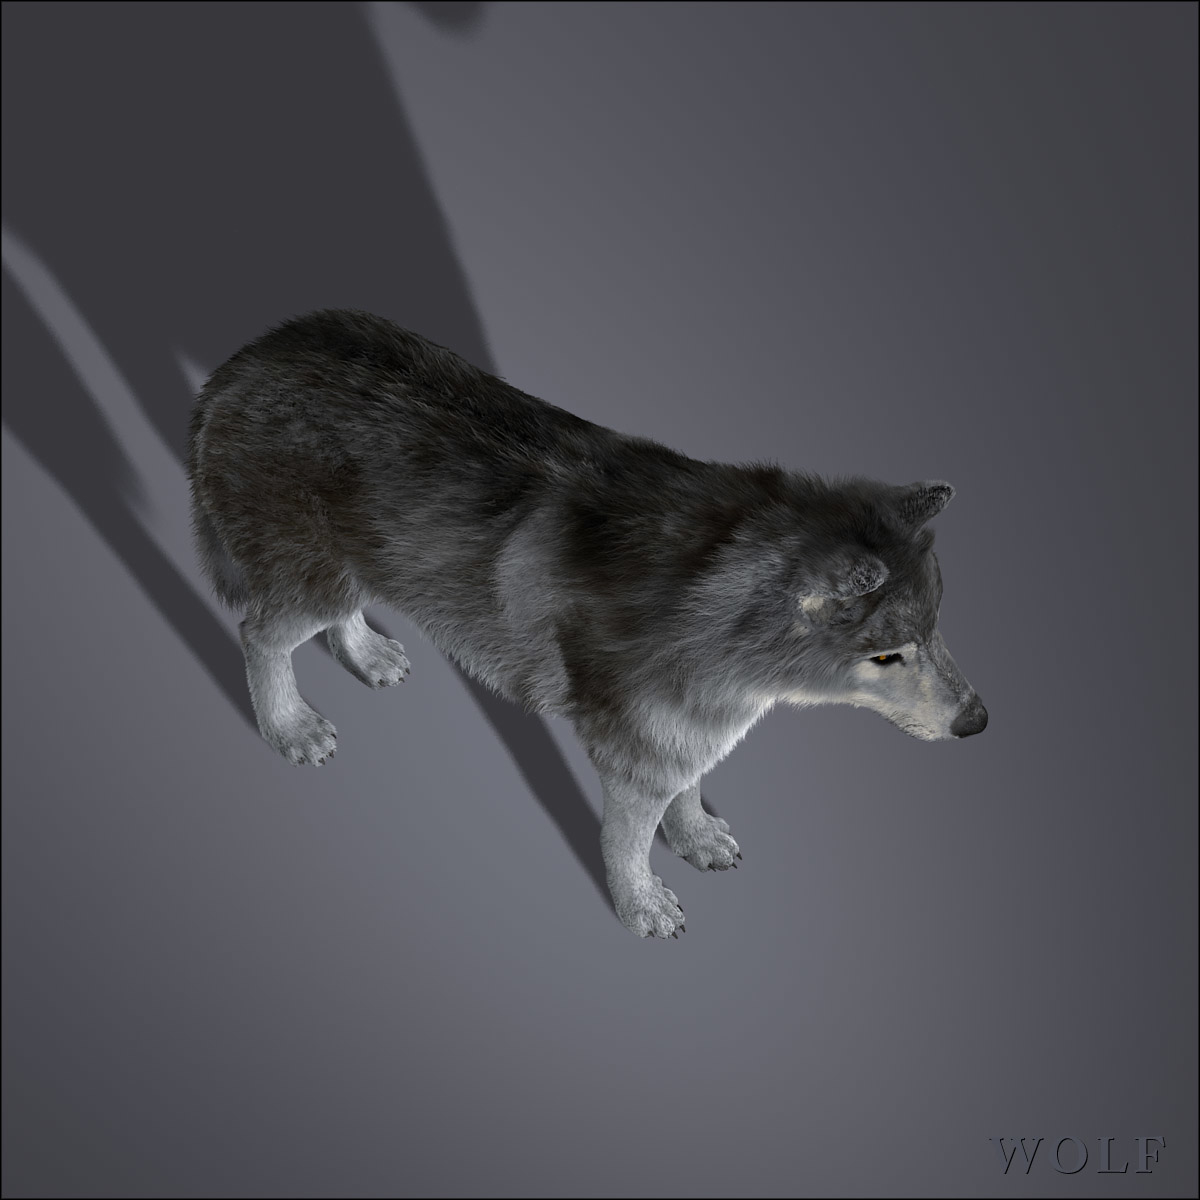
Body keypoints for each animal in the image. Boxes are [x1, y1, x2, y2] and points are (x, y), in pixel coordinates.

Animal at [187, 309, 987, 939]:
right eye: (888, 655)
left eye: (934, 629)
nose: (979, 721)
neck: (722, 611)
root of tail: (246, 359)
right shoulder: (640, 745)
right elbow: (627, 843)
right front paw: (642, 906)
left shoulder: (688, 729)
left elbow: (688, 794)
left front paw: (697, 837)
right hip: (313, 580)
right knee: (260, 636)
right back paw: (289, 726)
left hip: (349, 569)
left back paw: (370, 657)